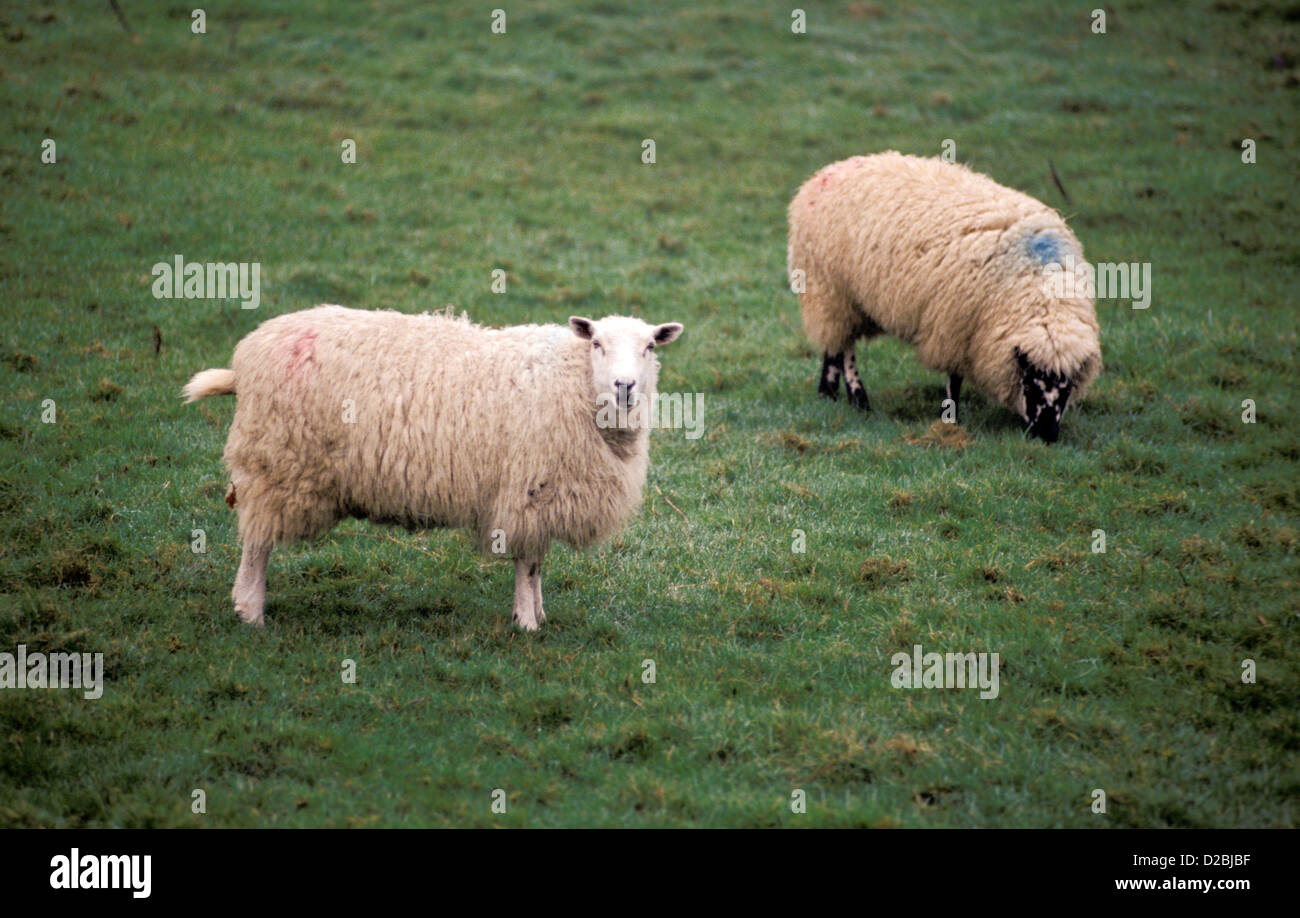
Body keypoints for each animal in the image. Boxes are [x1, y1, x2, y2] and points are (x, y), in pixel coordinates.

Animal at [182, 305, 684, 631]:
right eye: (597, 344)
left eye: (648, 348)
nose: (625, 386)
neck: (571, 380)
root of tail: (245, 362)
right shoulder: (529, 487)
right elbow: (527, 564)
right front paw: (526, 623)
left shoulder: (540, 494)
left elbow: (538, 562)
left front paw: (538, 612)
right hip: (278, 464)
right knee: (257, 544)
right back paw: (250, 611)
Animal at [788, 151, 1101, 442]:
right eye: (1030, 385)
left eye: (1068, 389)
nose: (1046, 436)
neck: (1041, 285)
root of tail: (826, 172)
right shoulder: (955, 327)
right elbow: (954, 378)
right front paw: (950, 420)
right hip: (831, 290)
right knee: (843, 348)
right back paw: (853, 398)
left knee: (834, 345)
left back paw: (831, 394)